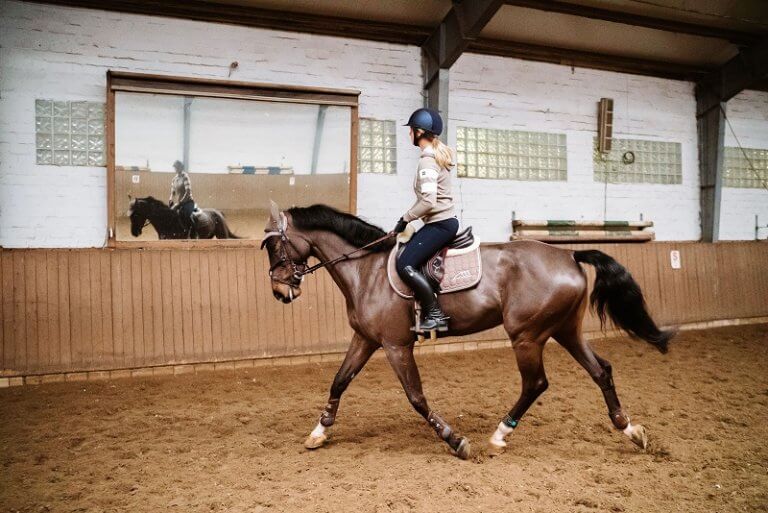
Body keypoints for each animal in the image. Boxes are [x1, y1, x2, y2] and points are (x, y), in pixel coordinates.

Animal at [261, 202, 674, 460]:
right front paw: (319, 432)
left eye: (274, 246)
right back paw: (630, 430)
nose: (279, 292)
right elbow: (339, 381)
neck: (367, 270)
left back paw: (499, 435)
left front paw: (455, 440)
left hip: (527, 336)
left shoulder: (396, 345)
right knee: (600, 370)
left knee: (536, 383)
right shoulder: (365, 340)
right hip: (564, 330)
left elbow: (417, 397)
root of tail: (568, 255)